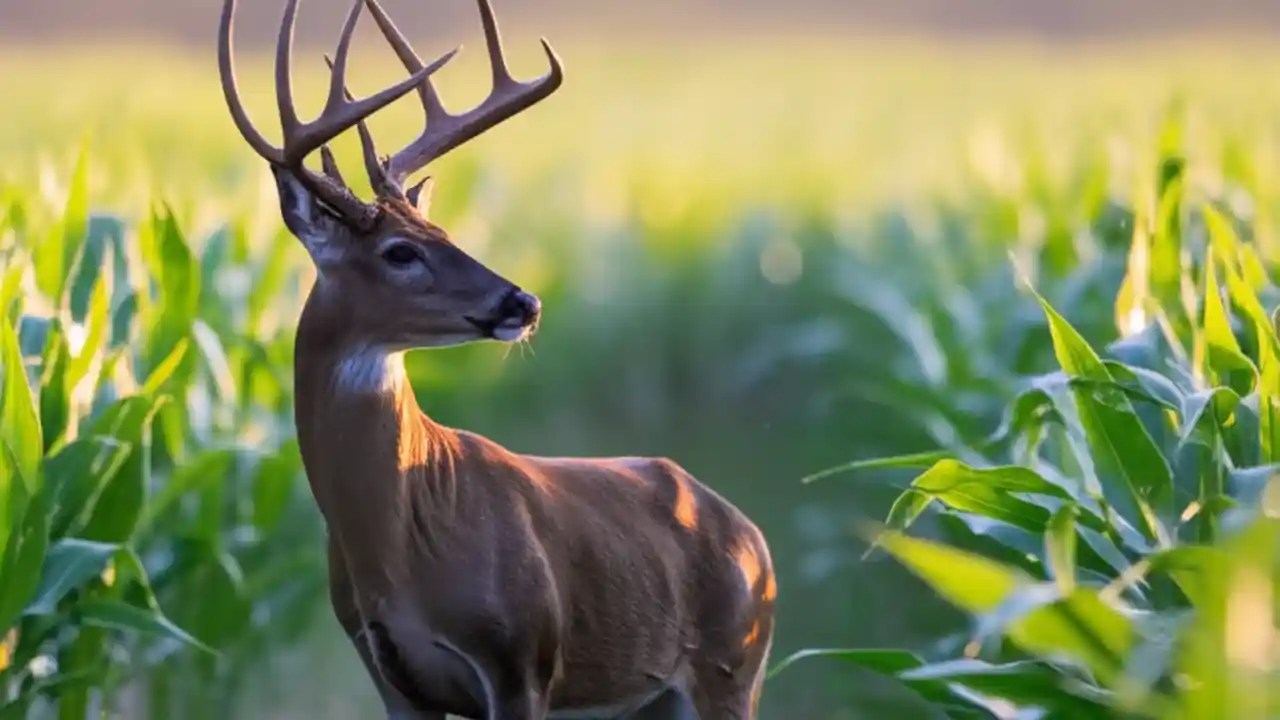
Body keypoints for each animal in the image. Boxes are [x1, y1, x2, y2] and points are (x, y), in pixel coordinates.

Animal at [217, 0, 776, 717]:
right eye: (402, 250)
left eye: (446, 232)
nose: (525, 301)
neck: (397, 550)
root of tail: (754, 537)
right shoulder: (387, 670)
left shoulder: (521, 660)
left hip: (732, 669)